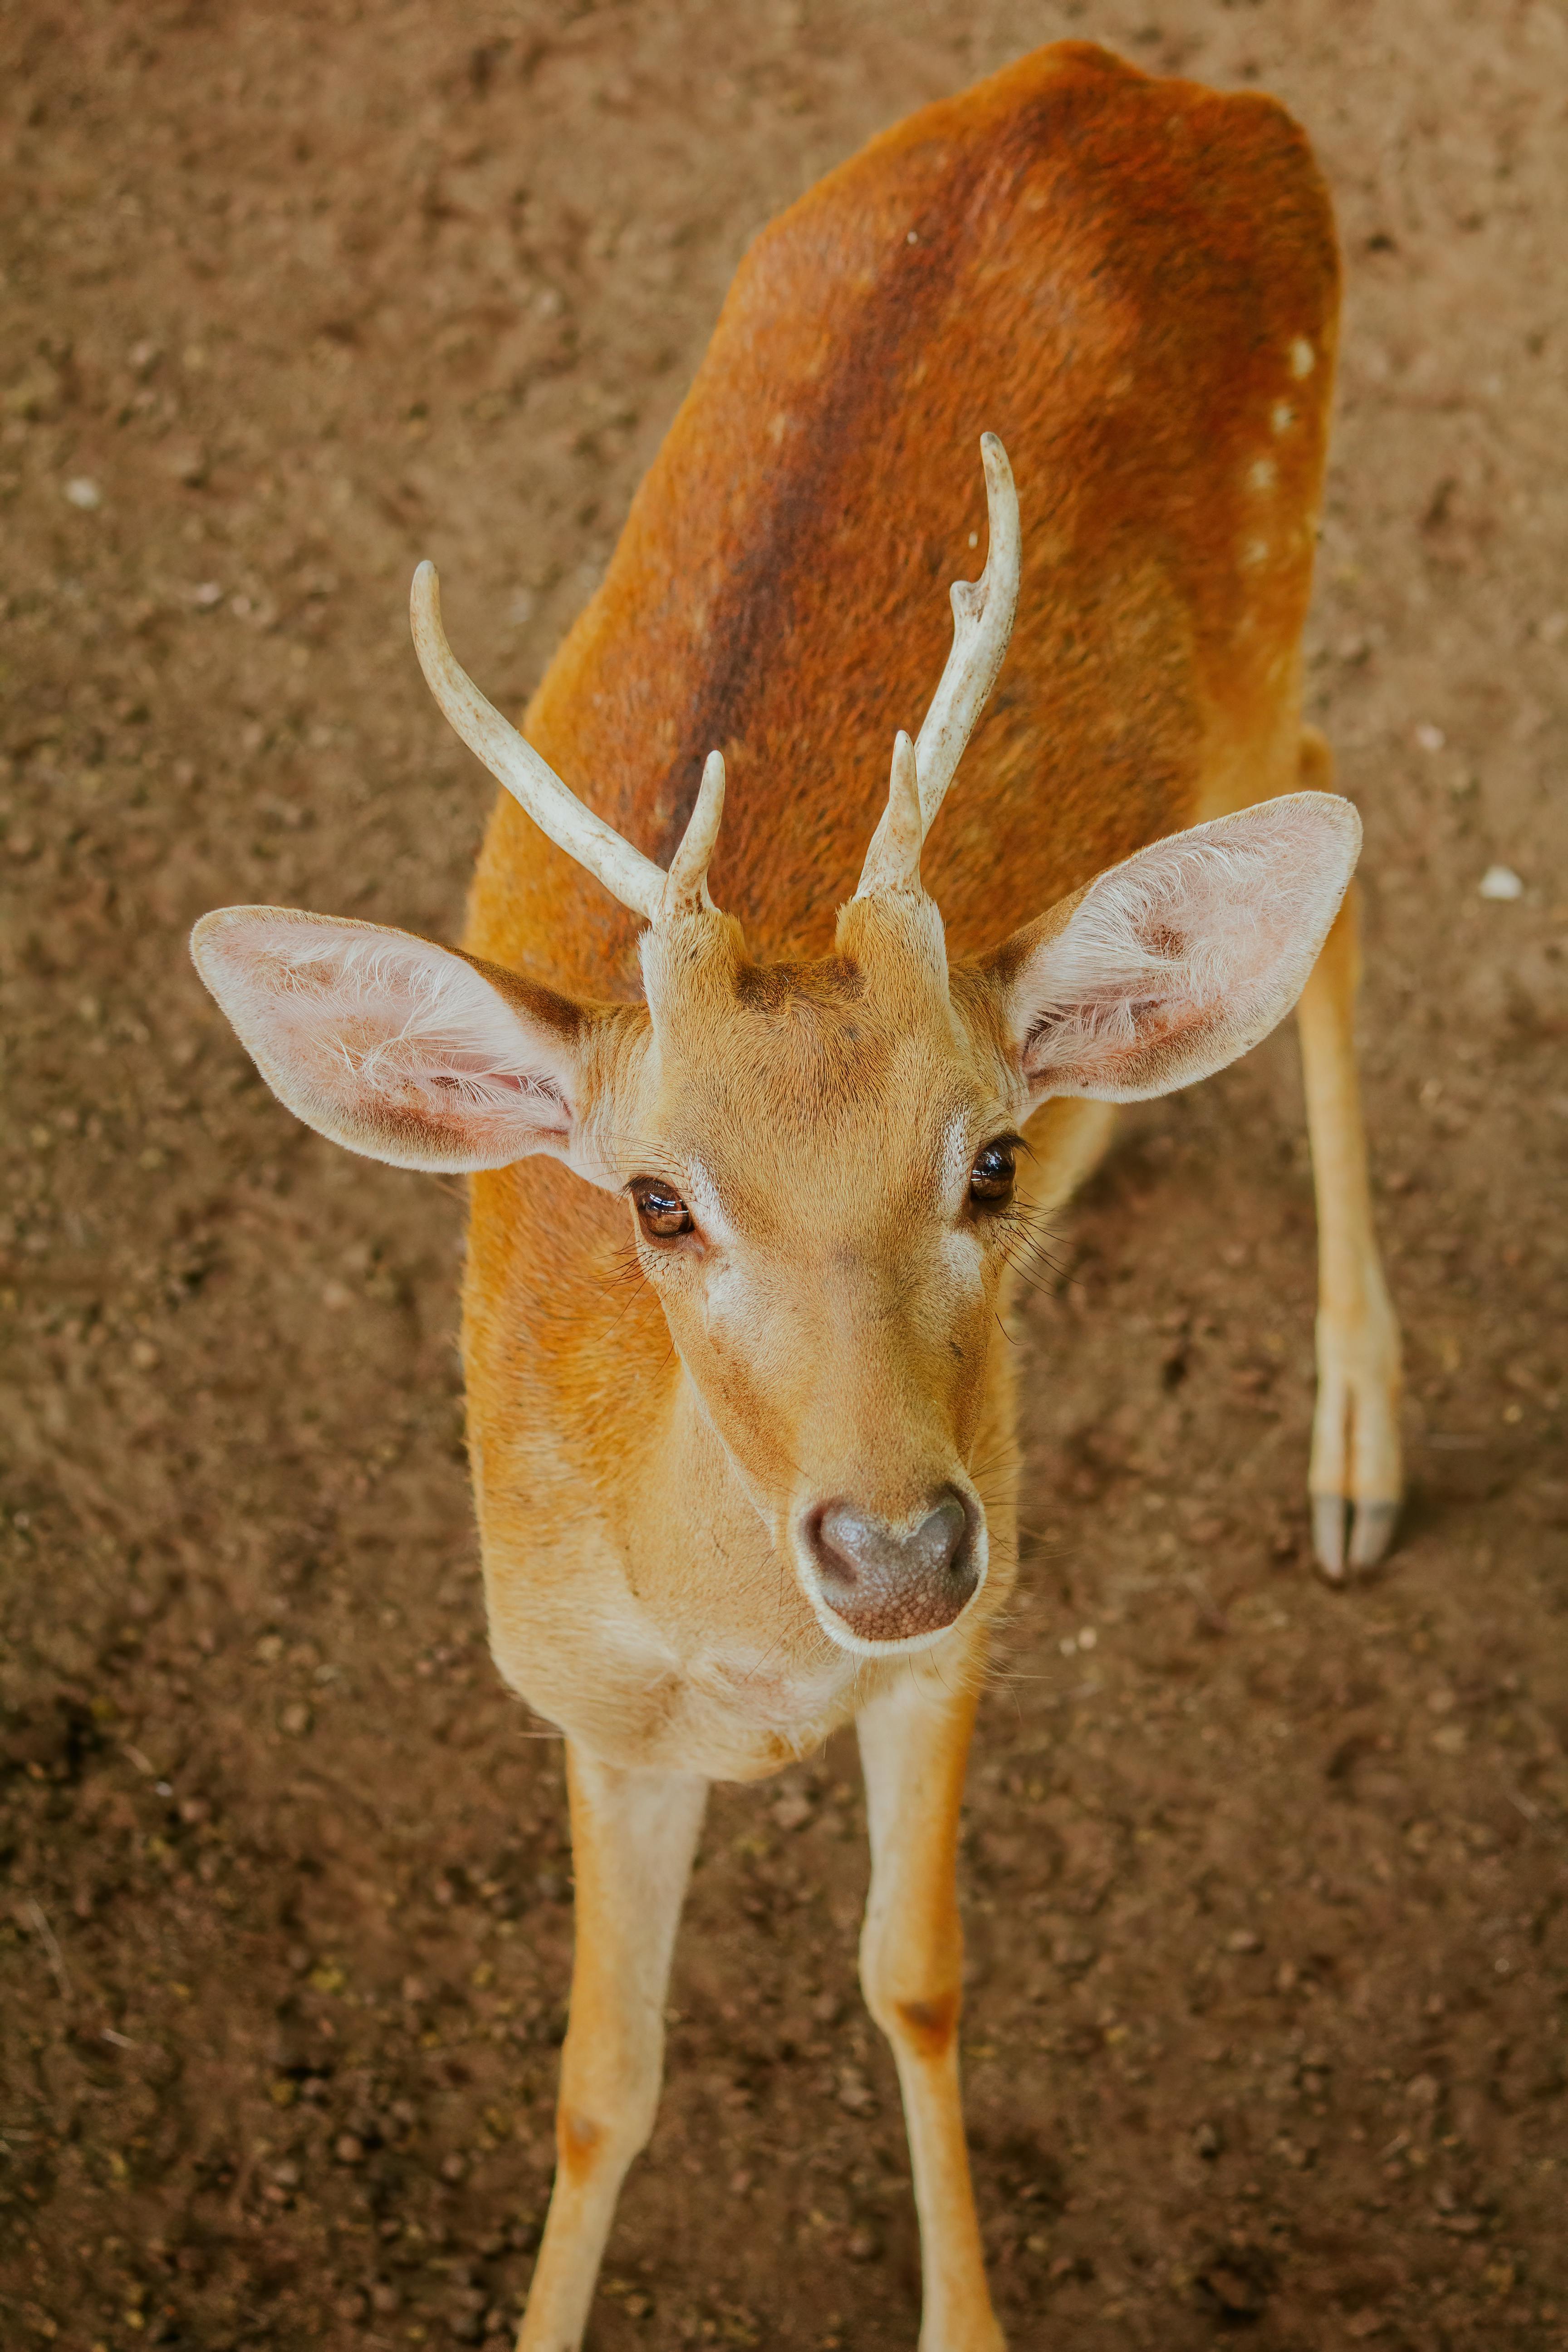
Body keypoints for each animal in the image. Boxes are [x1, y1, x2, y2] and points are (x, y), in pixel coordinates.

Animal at [190, 39, 1402, 2352]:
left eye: (980, 1157)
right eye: (656, 1203)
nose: (900, 1541)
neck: (742, 1670)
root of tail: (1136, 75)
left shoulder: (959, 1649)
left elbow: (913, 1979)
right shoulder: (573, 1697)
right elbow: (599, 2087)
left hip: (1274, 581)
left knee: (1337, 835)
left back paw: (1359, 1453)